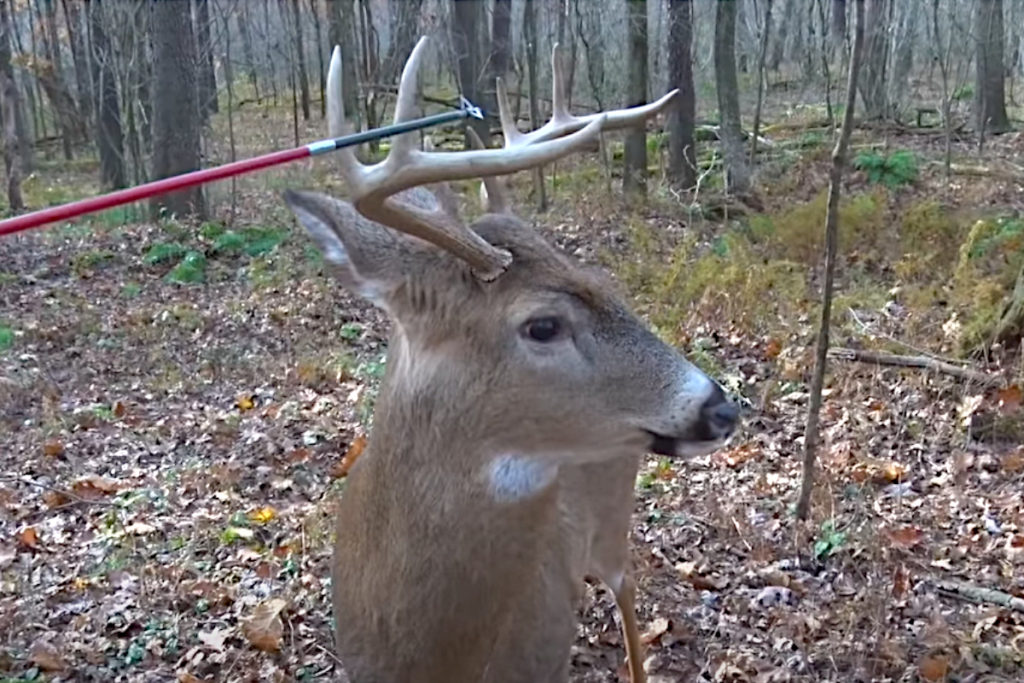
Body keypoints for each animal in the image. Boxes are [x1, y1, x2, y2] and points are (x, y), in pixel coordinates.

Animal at [284, 37, 738, 683]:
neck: (438, 659)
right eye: (543, 324)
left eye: (600, 282)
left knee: (626, 591)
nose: (721, 408)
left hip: (614, 509)